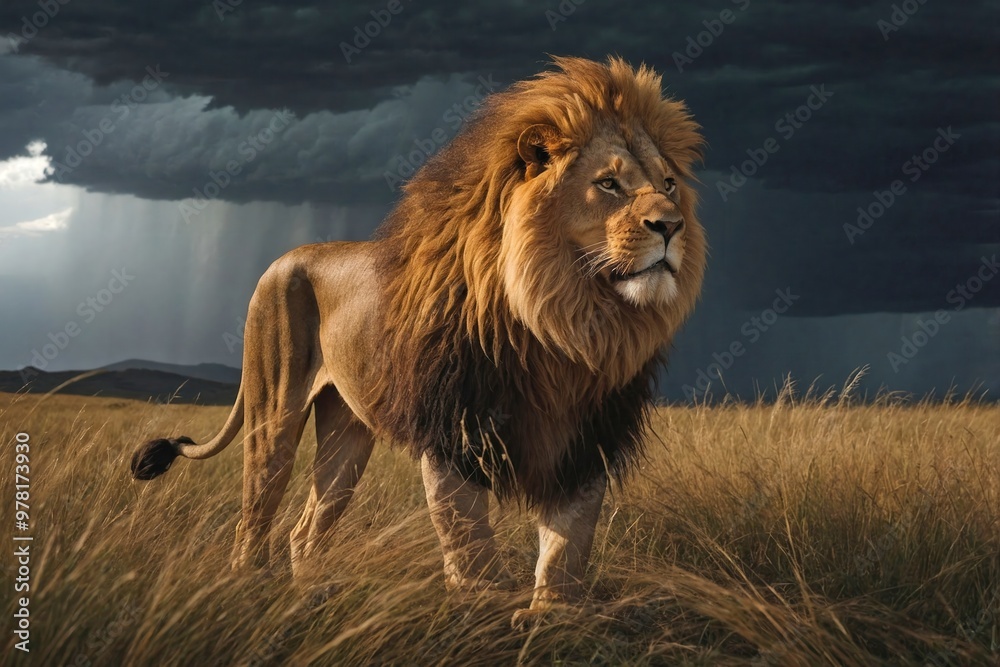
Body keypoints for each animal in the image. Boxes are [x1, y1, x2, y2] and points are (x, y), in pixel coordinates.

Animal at [130, 55, 706, 625]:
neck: (565, 328)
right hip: (273, 407)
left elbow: (569, 540)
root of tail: (281, 259)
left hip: (347, 432)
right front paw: (482, 607)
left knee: (307, 526)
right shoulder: (455, 427)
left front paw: (554, 616)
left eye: (669, 183)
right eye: (608, 184)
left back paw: (312, 593)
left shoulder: (588, 437)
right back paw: (248, 586)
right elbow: (467, 532)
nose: (671, 226)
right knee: (255, 510)